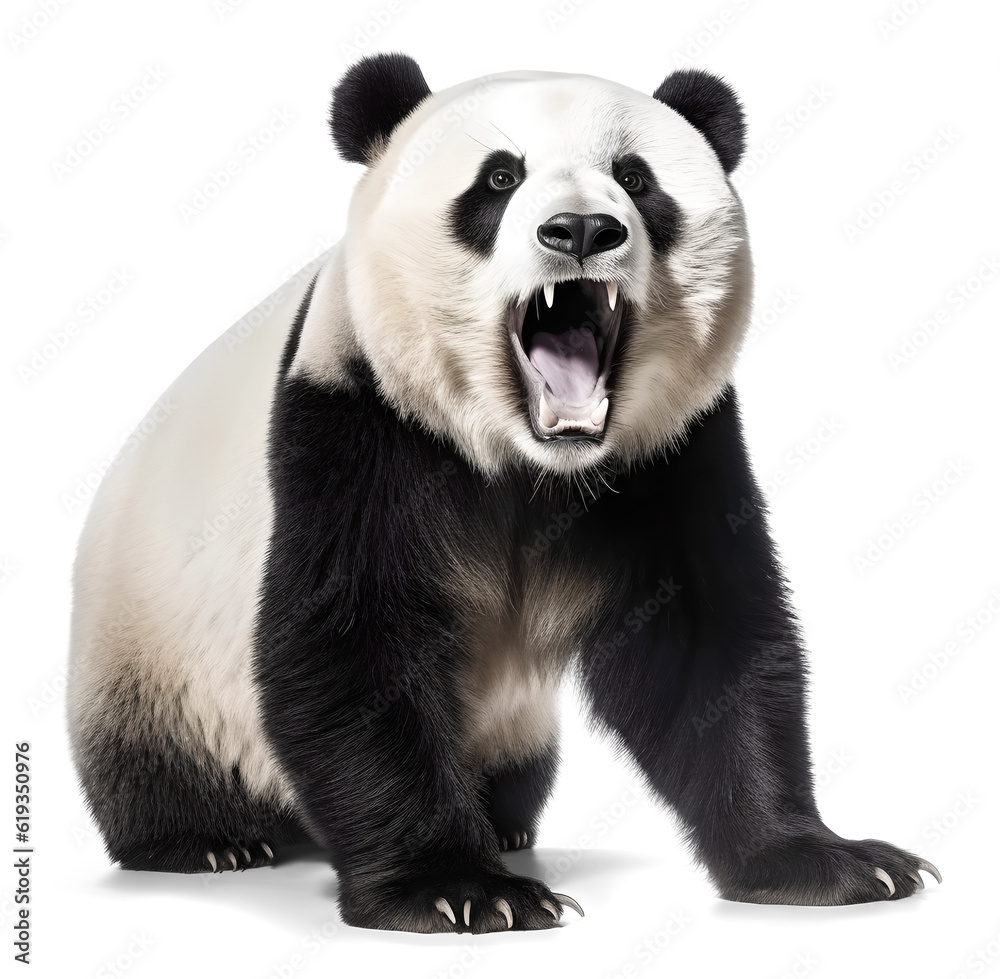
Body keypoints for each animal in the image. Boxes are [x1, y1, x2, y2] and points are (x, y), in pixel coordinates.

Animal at [67, 52, 940, 934]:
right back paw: (207, 839)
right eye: (498, 178)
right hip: (148, 647)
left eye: (635, 177)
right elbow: (354, 638)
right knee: (159, 755)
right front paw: (457, 887)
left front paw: (822, 860)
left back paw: (504, 819)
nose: (582, 230)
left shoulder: (674, 455)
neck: (535, 464)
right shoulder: (355, 419)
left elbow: (704, 646)